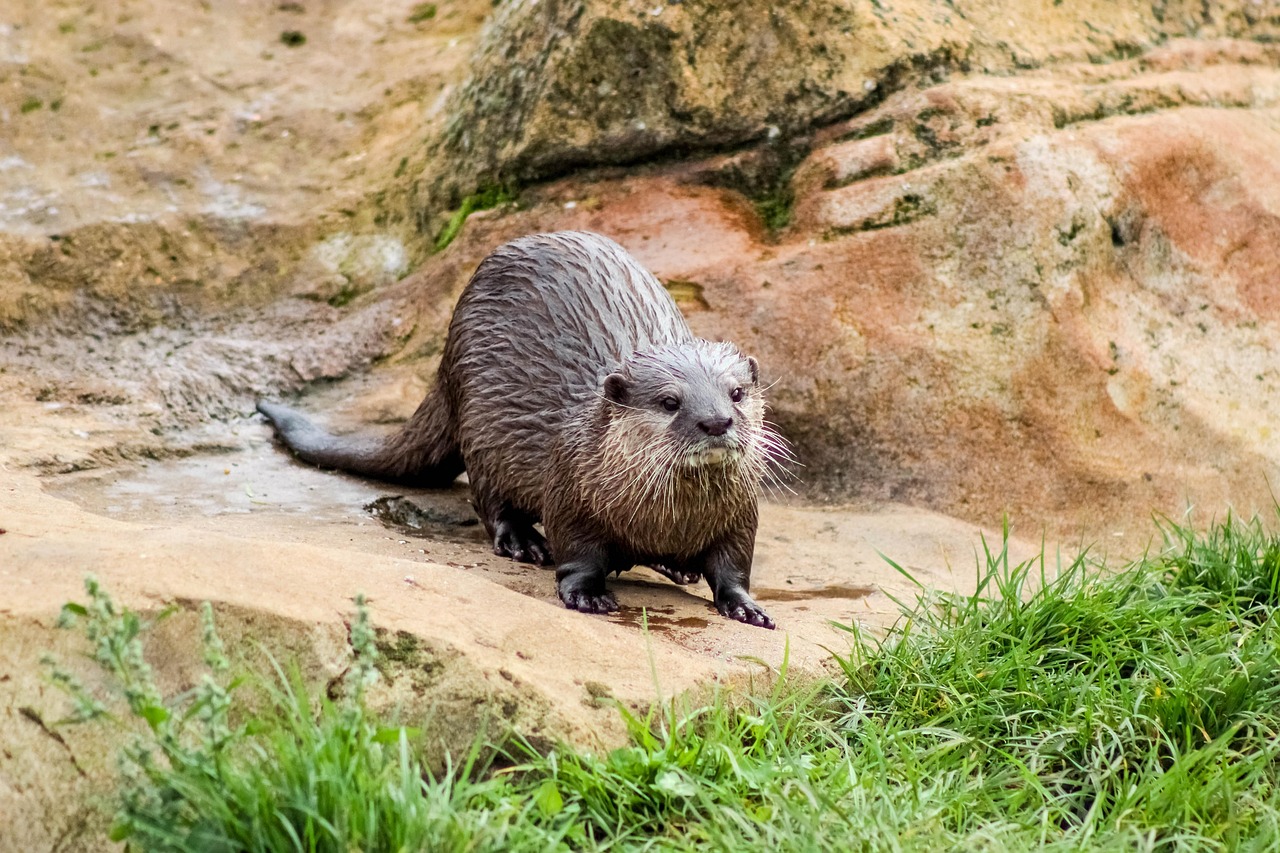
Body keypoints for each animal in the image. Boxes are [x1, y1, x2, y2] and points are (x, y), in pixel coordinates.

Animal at [257, 231, 789, 628]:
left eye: (736, 393)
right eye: (670, 401)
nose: (716, 421)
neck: (668, 519)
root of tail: (446, 360)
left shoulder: (742, 513)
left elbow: (733, 566)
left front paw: (747, 606)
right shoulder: (569, 490)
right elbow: (578, 553)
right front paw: (586, 594)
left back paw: (673, 565)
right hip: (480, 430)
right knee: (487, 498)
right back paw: (522, 542)